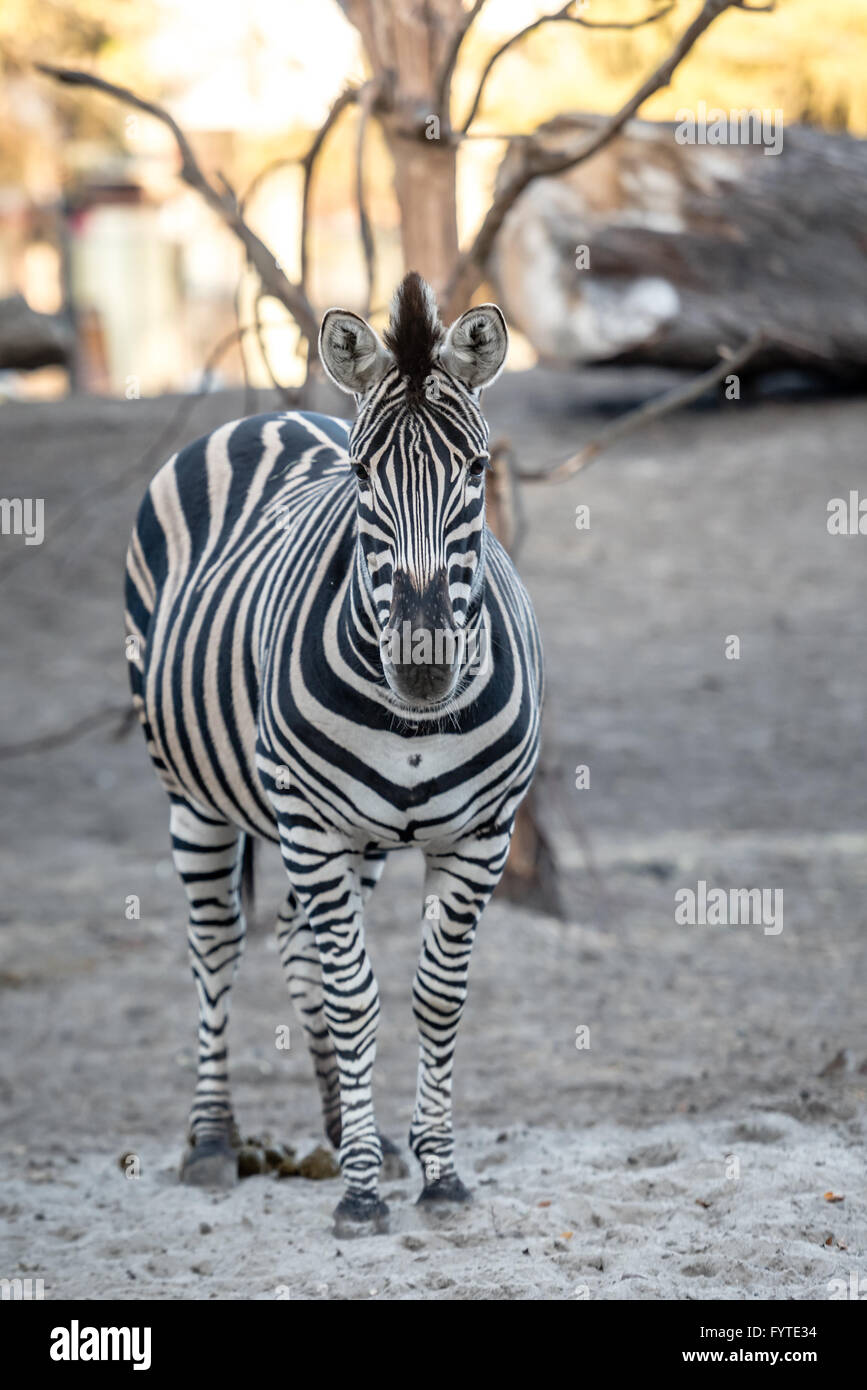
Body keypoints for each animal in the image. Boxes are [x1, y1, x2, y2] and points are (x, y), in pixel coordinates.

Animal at [124, 271, 543, 1235]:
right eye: (360, 476)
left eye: (476, 470)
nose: (422, 668)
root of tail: (271, 416)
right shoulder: (310, 826)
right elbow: (357, 997)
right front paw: (358, 1195)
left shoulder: (481, 837)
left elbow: (434, 998)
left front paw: (437, 1173)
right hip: (200, 800)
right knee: (219, 945)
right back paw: (213, 1142)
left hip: (355, 840)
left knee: (291, 942)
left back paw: (345, 1128)